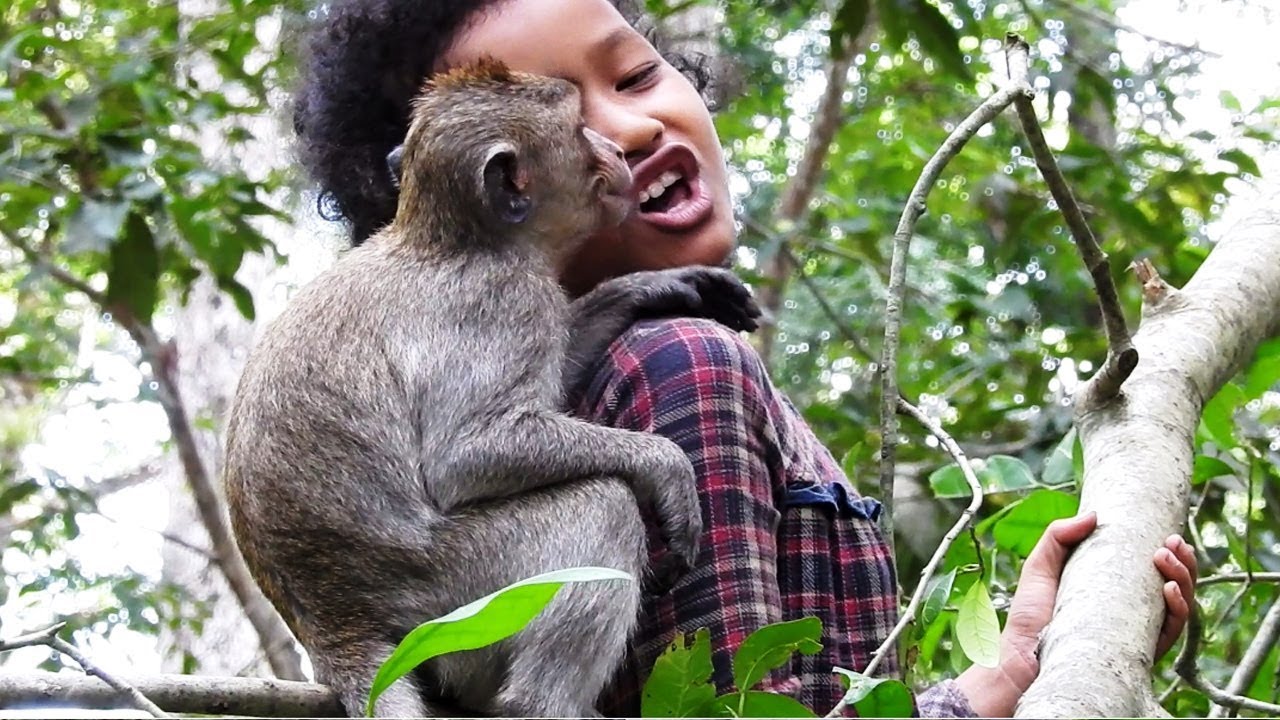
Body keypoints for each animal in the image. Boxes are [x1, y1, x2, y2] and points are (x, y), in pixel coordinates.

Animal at [223, 59, 760, 718]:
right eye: (580, 129)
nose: (616, 149)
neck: (456, 237)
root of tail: (330, 616)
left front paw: (646, 287)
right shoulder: (507, 299)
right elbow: (467, 455)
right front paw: (665, 465)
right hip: (451, 595)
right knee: (602, 505)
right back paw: (539, 705)